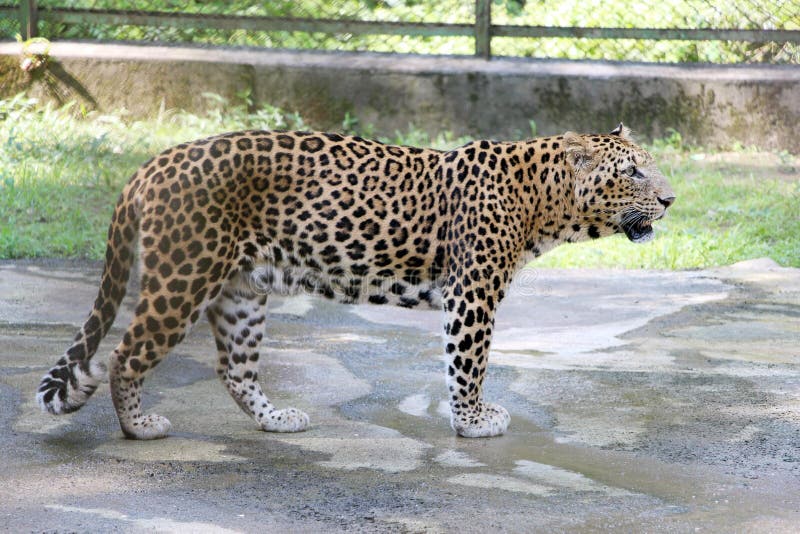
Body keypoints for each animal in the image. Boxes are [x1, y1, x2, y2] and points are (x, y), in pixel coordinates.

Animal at [37, 122, 674, 439]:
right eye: (634, 172)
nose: (671, 200)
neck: (547, 203)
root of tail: (151, 164)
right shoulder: (473, 292)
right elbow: (468, 362)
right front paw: (473, 422)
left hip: (242, 290)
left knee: (235, 369)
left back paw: (278, 420)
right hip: (183, 279)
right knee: (125, 355)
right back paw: (138, 427)